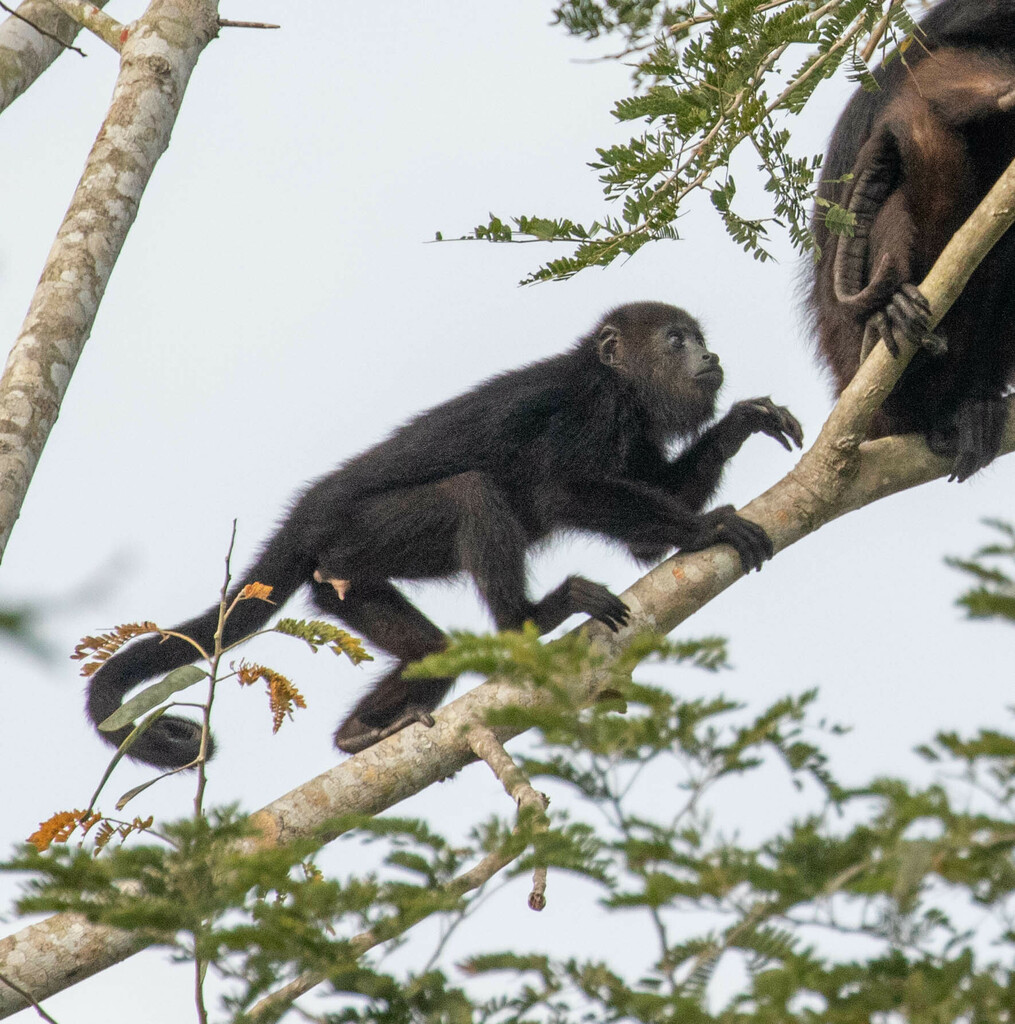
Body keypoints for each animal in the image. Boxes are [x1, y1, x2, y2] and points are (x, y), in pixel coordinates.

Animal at [86, 302, 802, 766]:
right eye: (677, 339)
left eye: (697, 339)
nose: (709, 354)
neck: (620, 386)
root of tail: (309, 512)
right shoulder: (591, 406)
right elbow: (561, 492)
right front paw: (711, 525)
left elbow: (646, 547)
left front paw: (743, 422)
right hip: (360, 531)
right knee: (472, 493)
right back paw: (529, 620)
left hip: (341, 580)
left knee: (432, 648)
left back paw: (357, 735)